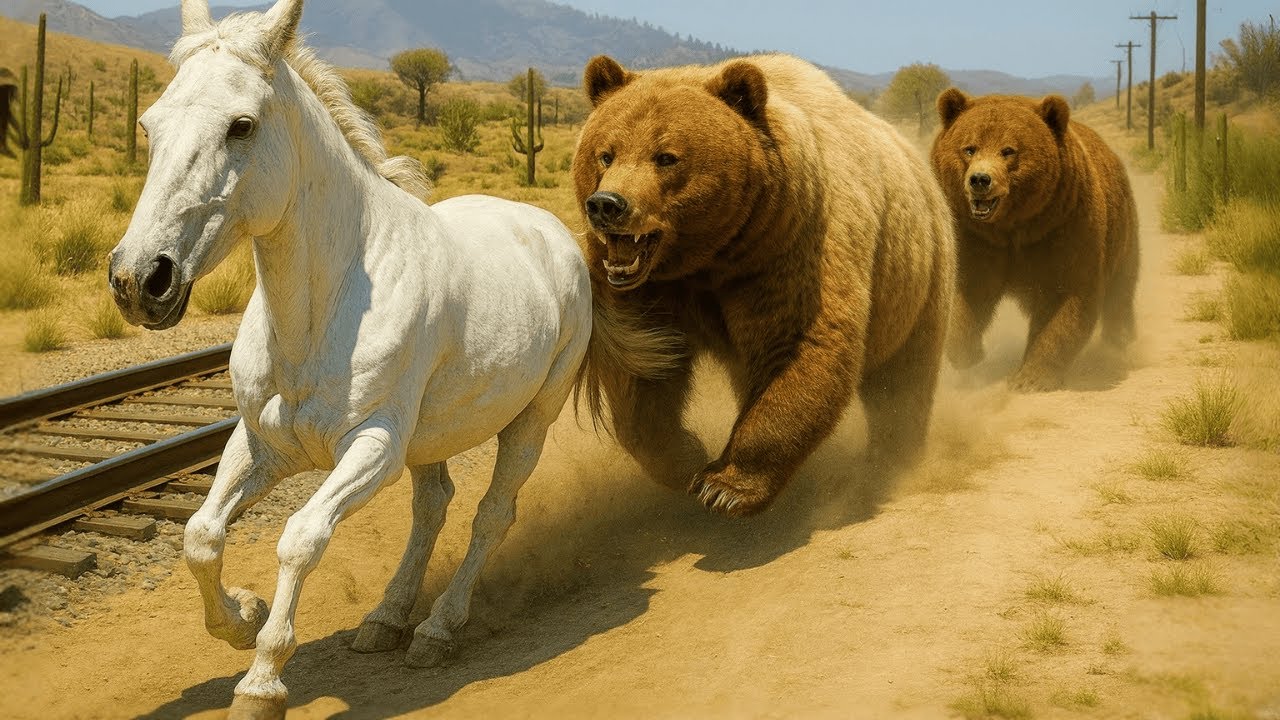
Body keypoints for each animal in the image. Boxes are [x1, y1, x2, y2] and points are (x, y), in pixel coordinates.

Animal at [107, 0, 591, 716]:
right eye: (149, 124)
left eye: (242, 125)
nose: (140, 280)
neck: (321, 312)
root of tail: (553, 231)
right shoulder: (261, 444)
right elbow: (201, 536)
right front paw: (243, 617)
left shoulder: (372, 448)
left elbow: (301, 538)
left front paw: (262, 680)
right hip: (428, 438)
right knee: (434, 505)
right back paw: (386, 620)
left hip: (531, 419)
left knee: (491, 515)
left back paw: (437, 630)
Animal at [570, 54, 956, 518]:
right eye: (605, 154)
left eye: (666, 156)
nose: (607, 205)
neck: (711, 257)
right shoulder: (652, 291)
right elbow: (646, 367)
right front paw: (685, 458)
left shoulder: (790, 247)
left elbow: (798, 346)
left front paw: (724, 486)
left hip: (918, 277)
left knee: (905, 379)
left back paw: (893, 458)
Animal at [930, 89, 1140, 391]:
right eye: (969, 148)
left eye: (1008, 150)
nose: (980, 180)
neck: (1013, 226)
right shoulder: (975, 236)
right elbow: (967, 291)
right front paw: (968, 355)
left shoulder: (1065, 226)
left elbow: (1066, 296)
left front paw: (1030, 377)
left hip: (1122, 230)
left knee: (1121, 290)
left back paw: (1119, 342)